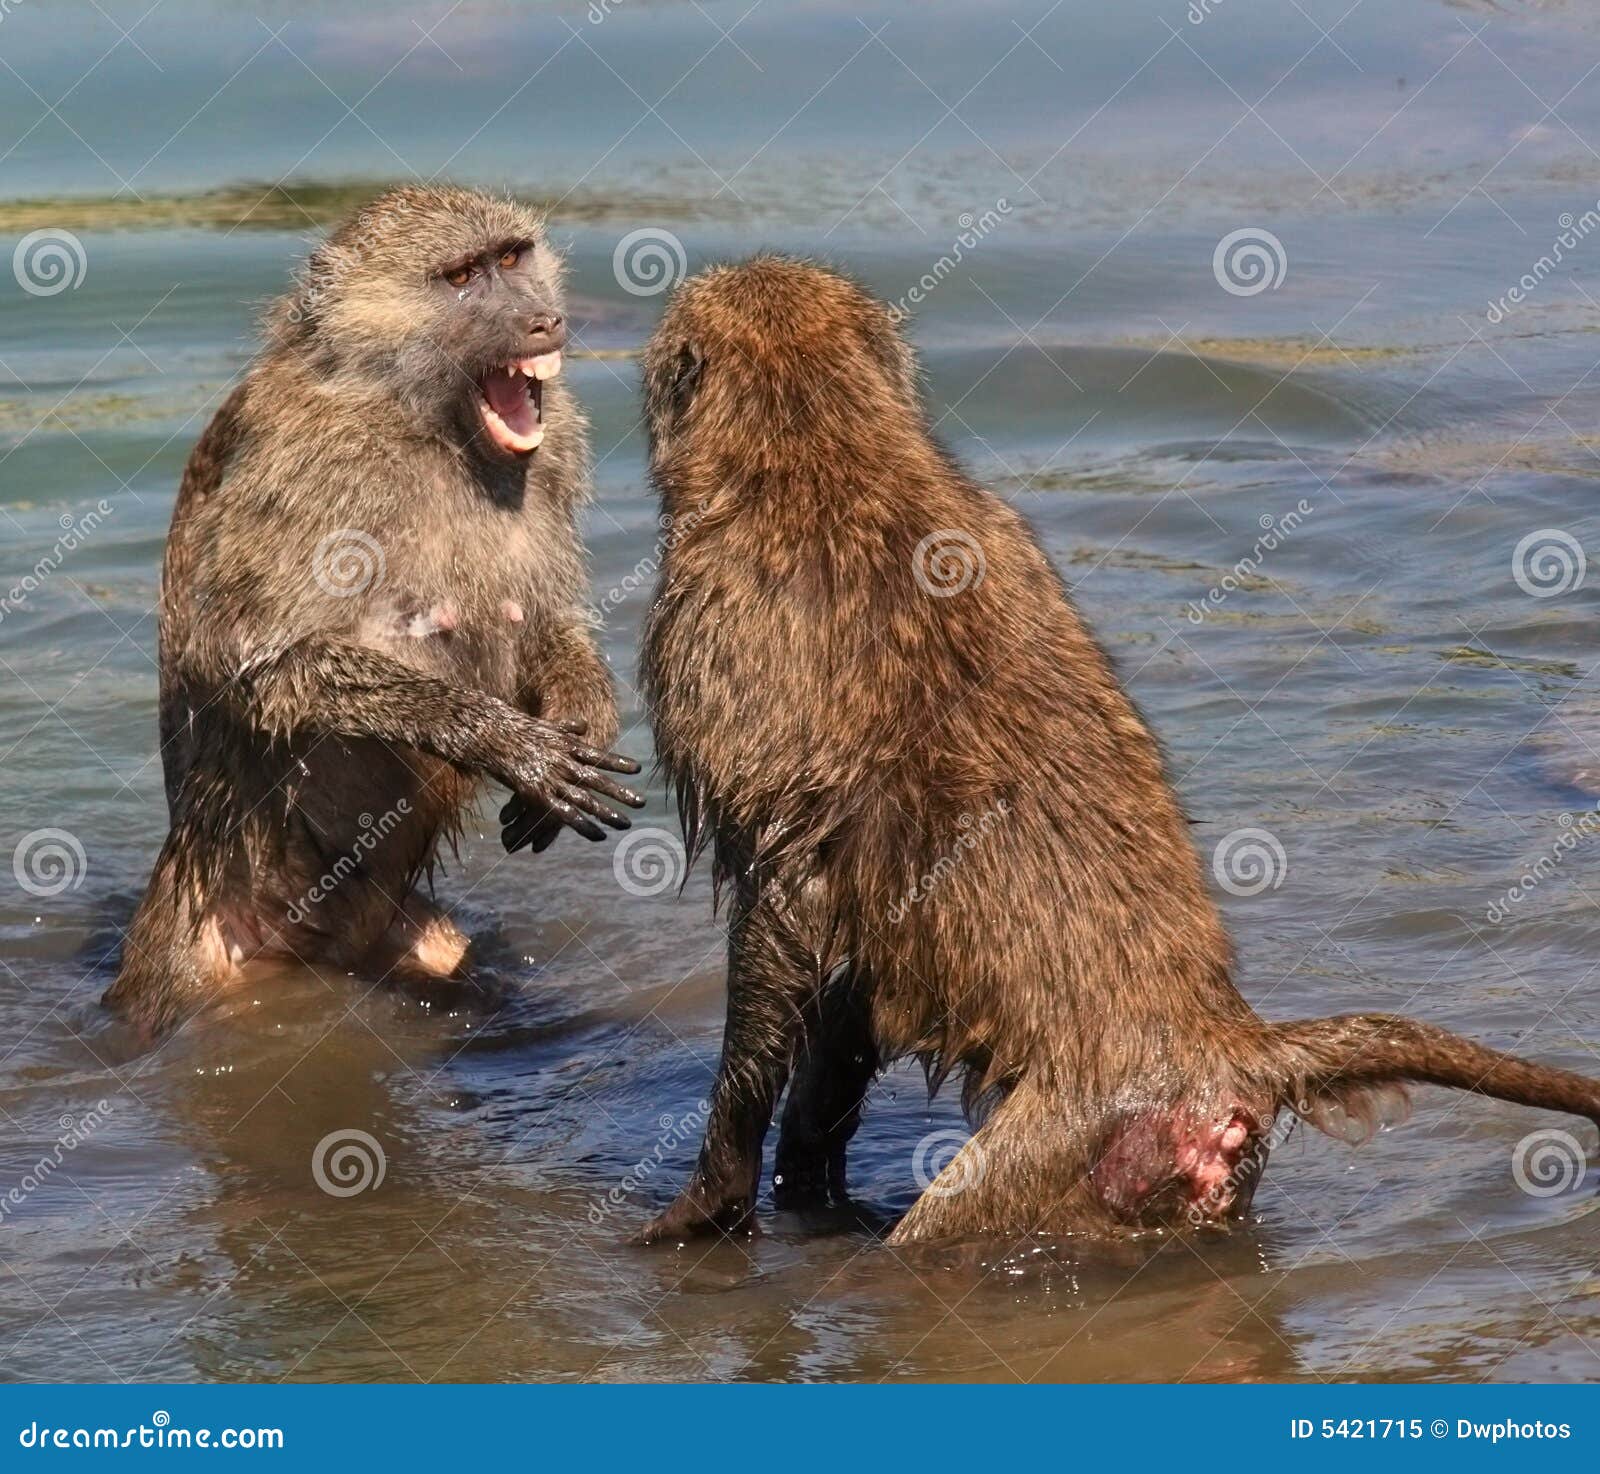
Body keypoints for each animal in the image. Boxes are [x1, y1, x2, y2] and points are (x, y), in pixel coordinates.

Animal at [106, 185, 644, 1033]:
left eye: (512, 256)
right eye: (462, 276)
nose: (543, 320)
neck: (418, 420)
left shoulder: (553, 445)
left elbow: (548, 622)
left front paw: (583, 718)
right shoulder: (313, 469)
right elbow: (257, 663)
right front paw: (506, 743)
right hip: (193, 950)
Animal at [633, 254, 1600, 1246]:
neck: (821, 451)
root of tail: (1221, 1043)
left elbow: (783, 913)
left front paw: (710, 1200)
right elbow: (858, 963)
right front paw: (806, 1176)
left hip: (1049, 1158)